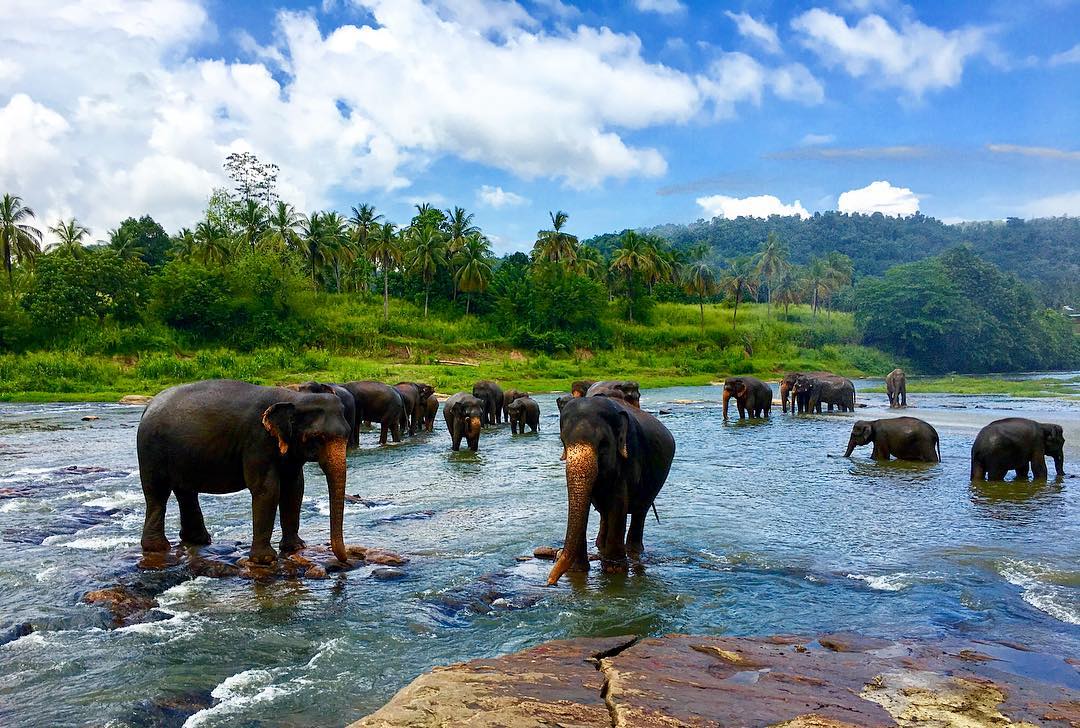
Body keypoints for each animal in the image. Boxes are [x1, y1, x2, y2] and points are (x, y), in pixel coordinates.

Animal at [137, 379, 352, 564]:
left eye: (347, 434)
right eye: (318, 437)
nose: (344, 559)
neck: (293, 397)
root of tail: (148, 407)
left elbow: (295, 487)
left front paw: (296, 548)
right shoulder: (257, 441)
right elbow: (267, 489)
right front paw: (265, 559)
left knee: (185, 491)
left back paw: (199, 540)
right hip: (151, 450)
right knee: (157, 492)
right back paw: (157, 547)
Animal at [548, 396, 675, 585]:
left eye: (603, 444)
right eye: (563, 442)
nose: (550, 581)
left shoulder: (629, 457)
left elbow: (618, 503)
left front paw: (615, 572)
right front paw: (577, 570)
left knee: (640, 512)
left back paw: (633, 551)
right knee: (604, 514)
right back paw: (600, 545)